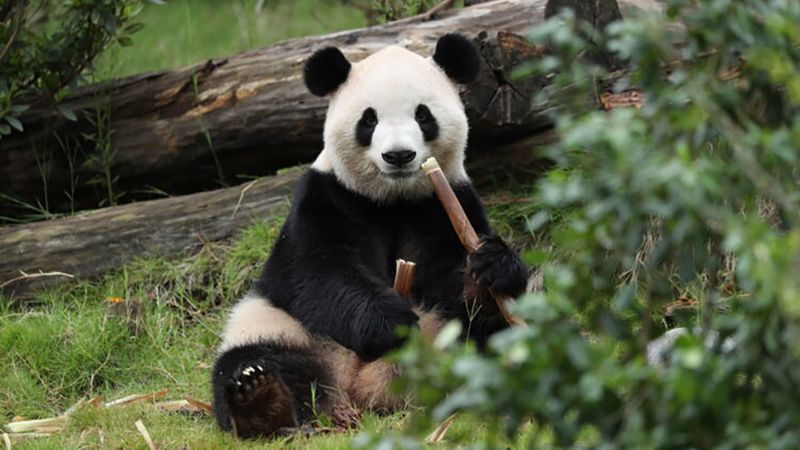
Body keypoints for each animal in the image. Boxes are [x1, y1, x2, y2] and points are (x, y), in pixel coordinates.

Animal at [211, 34, 529, 439]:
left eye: (423, 115)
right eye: (369, 119)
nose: (399, 155)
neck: (392, 199)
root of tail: (360, 389)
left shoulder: (444, 203)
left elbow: (453, 281)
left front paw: (491, 267)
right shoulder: (326, 197)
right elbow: (318, 273)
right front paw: (389, 323)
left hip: (446, 340)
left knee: (491, 340)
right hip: (279, 327)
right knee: (252, 359)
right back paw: (261, 398)